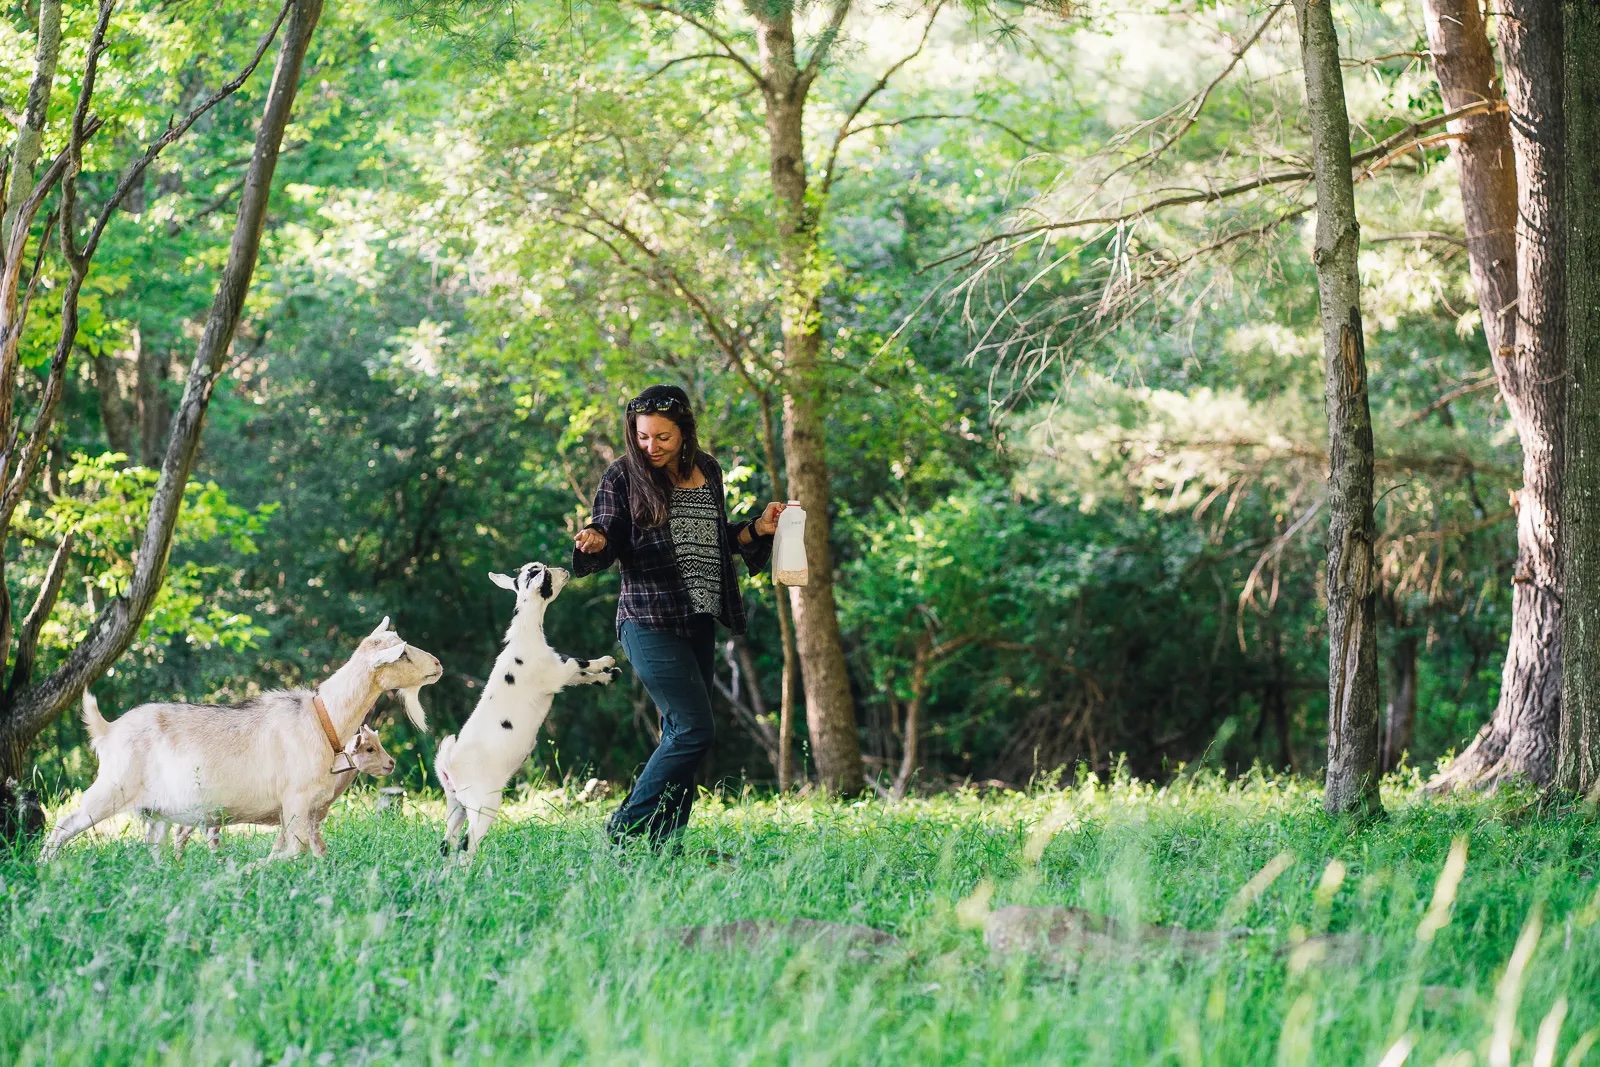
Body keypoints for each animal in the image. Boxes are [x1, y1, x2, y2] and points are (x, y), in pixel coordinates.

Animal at [435, 563, 617, 855]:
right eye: (542, 572)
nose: (564, 569)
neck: (524, 637)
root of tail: (448, 765)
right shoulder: (557, 674)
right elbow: (580, 663)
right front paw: (608, 662)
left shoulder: (562, 677)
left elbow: (585, 675)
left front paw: (609, 675)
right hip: (484, 805)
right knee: (466, 845)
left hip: (456, 805)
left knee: (447, 844)